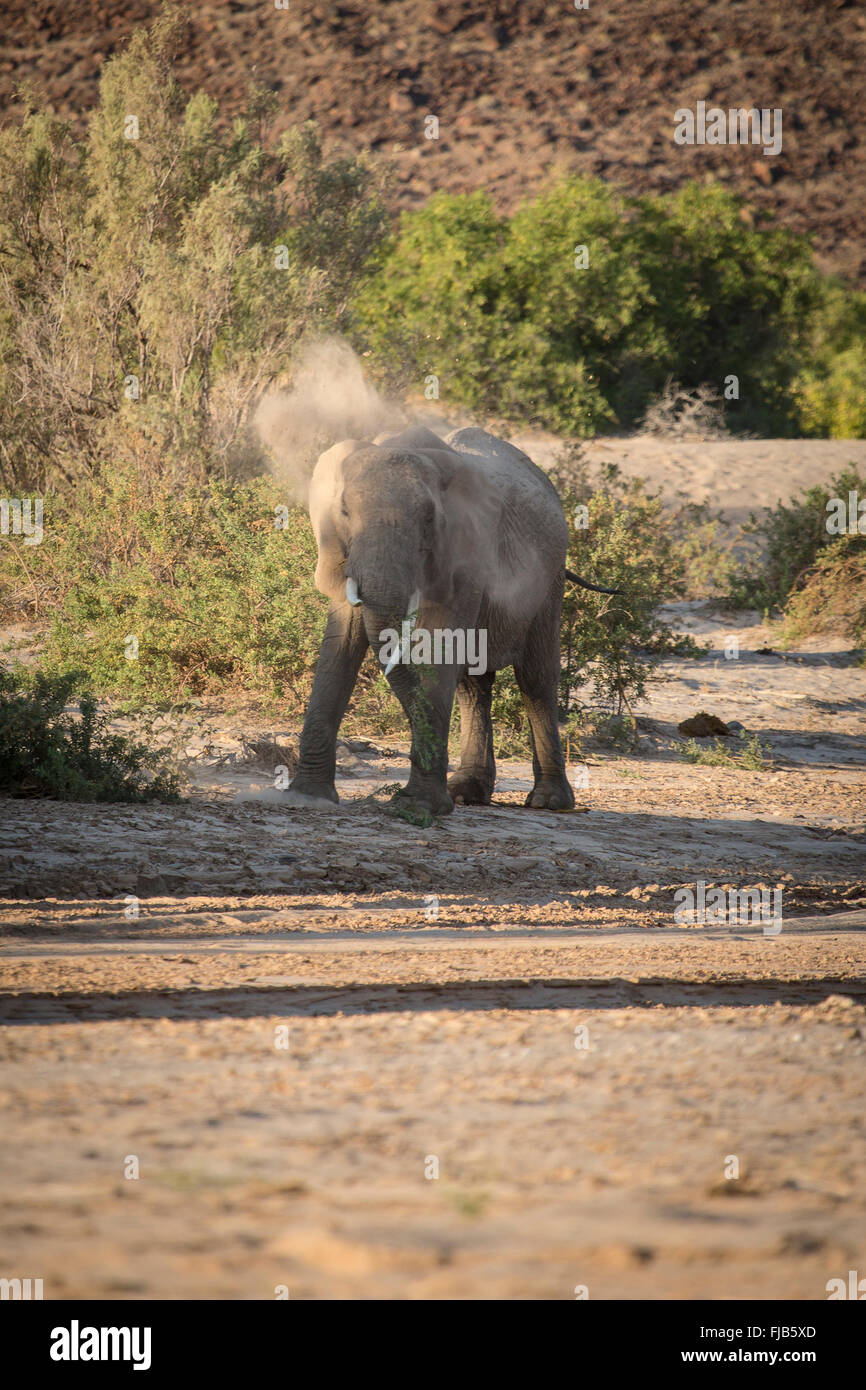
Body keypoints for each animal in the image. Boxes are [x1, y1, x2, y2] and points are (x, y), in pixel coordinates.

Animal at [286, 424, 579, 817]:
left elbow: (440, 648)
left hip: (550, 578)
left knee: (536, 678)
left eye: (428, 518)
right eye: (344, 511)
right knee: (473, 683)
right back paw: (466, 793)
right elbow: (340, 644)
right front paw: (307, 796)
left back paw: (549, 801)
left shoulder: (464, 555)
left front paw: (419, 805)